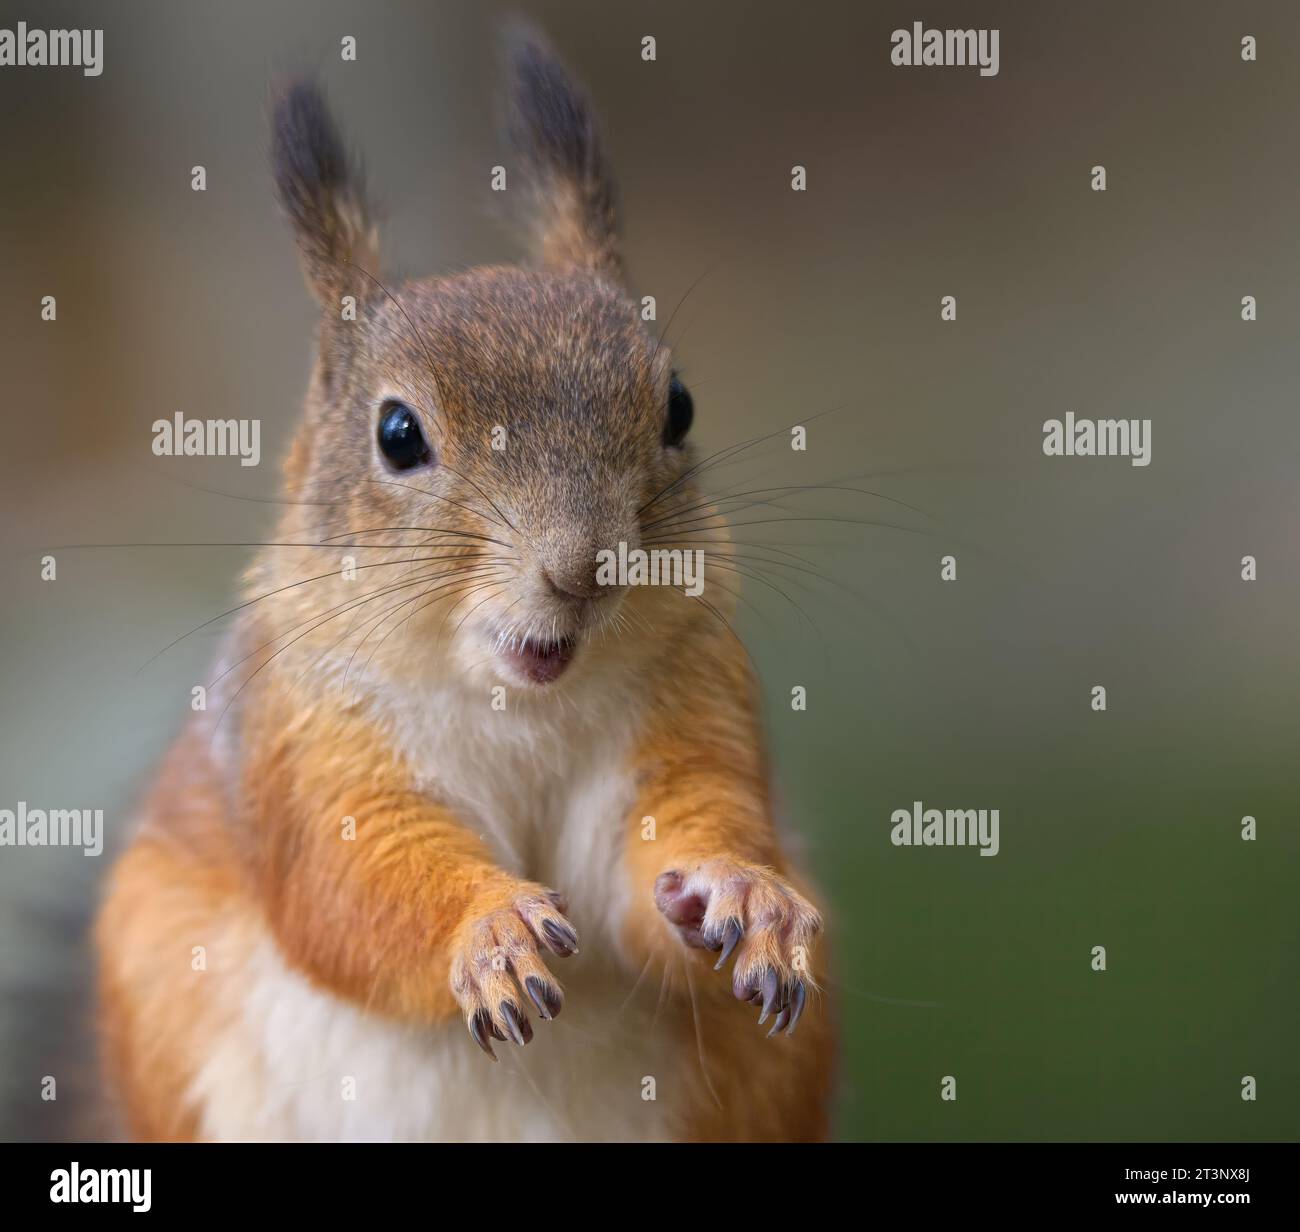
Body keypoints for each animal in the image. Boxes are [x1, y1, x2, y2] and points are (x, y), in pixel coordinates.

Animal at [95, 26, 835, 1142]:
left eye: (678, 405)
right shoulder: (306, 736)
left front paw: (739, 890)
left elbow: (665, 836)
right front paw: (487, 929)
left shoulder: (689, 692)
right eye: (397, 433)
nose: (580, 566)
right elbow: (351, 880)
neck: (518, 704)